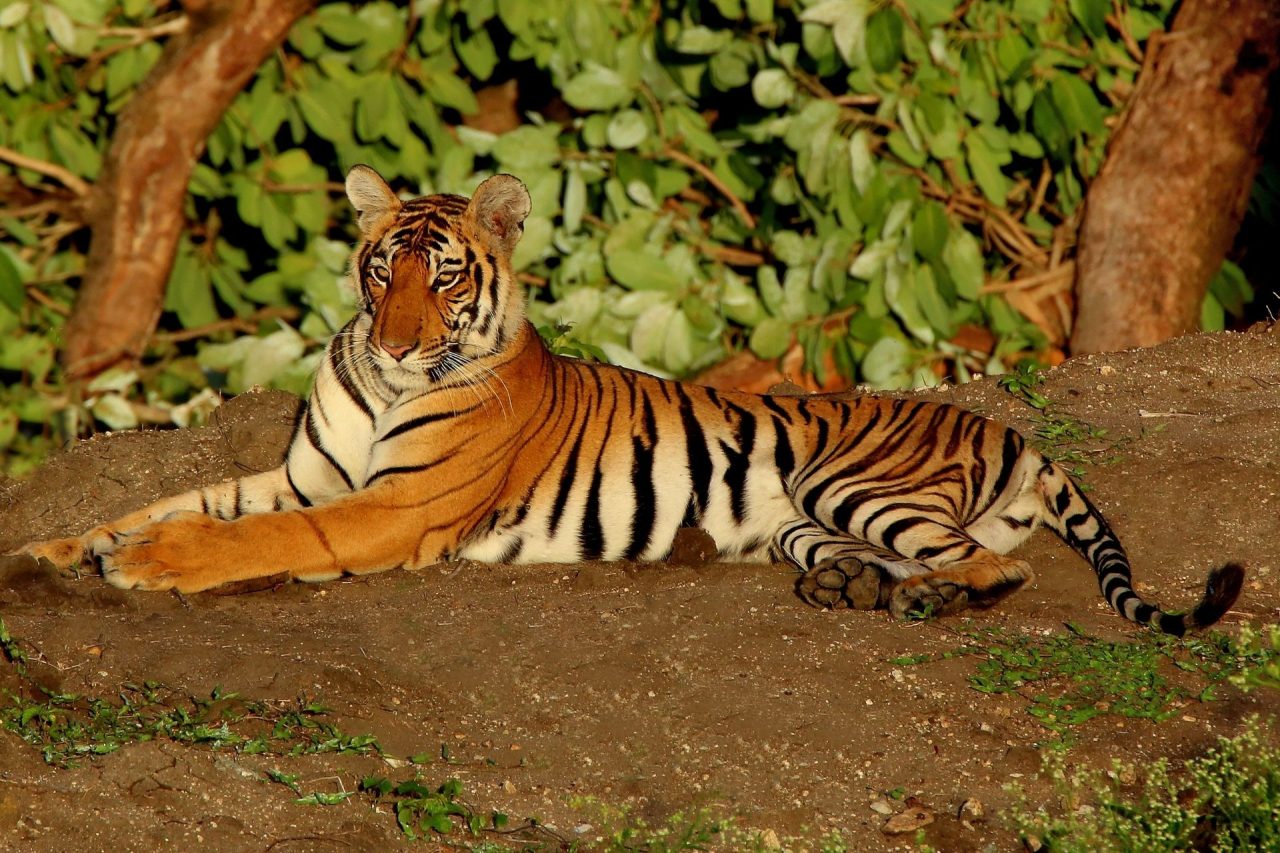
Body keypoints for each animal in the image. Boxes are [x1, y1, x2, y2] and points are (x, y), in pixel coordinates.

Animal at [16, 166, 1242, 635]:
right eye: (379, 269)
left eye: (443, 276)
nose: (400, 343)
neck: (381, 378)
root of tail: (1002, 425)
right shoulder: (302, 470)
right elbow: (189, 498)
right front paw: (63, 545)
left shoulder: (386, 507)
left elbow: (246, 535)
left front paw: (145, 564)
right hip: (805, 516)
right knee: (912, 557)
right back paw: (850, 588)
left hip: (851, 477)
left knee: (994, 569)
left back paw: (922, 602)